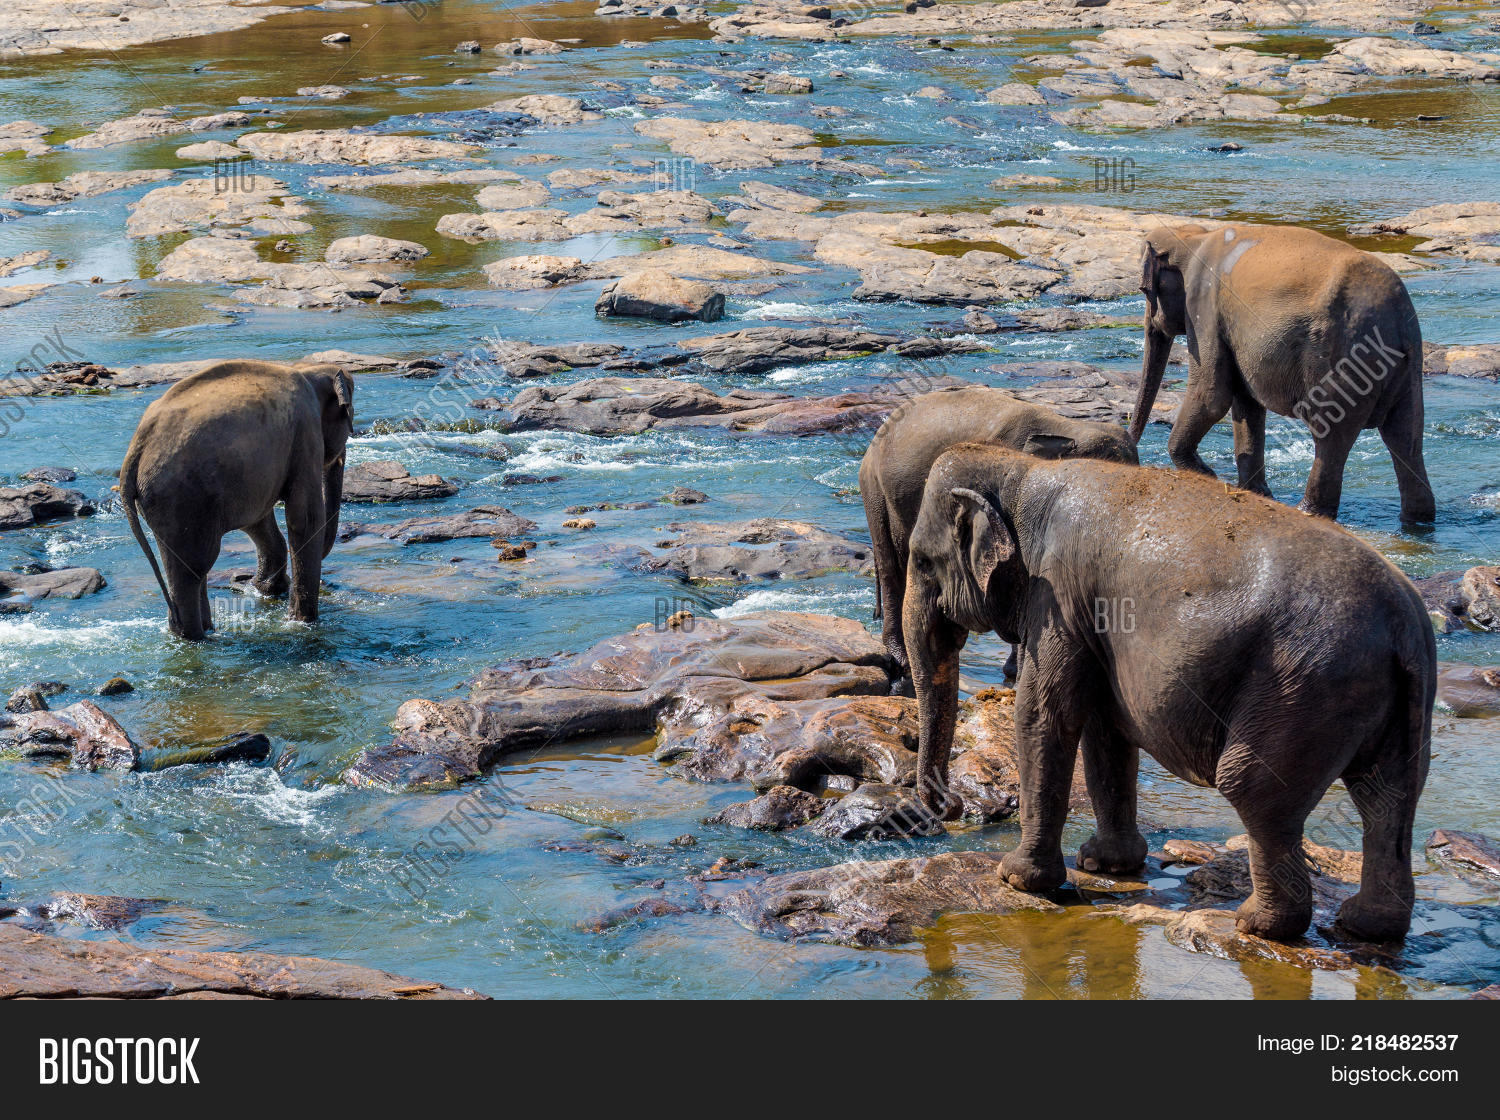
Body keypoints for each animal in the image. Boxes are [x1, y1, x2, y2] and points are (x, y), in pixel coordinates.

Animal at [120, 360, 354, 641]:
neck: (308, 368)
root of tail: (135, 453)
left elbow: (258, 518)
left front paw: (266, 589)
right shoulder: (306, 433)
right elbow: (304, 518)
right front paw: (302, 622)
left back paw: (200, 630)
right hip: (182, 498)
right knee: (196, 566)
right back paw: (197, 637)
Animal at [902, 443, 1434, 942]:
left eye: (924, 561)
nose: (949, 807)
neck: (1023, 470)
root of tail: (1403, 620)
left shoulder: (1059, 596)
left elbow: (1045, 716)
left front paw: (1016, 879)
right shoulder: (1092, 622)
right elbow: (1106, 729)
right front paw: (1105, 865)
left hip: (1301, 690)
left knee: (1255, 789)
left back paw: (1257, 925)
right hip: (1396, 700)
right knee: (1389, 797)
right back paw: (1365, 925)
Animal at [1131, 222, 1434, 524]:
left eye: (1145, 291)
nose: (1132, 452)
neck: (1195, 236)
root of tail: (1397, 318)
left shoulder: (1204, 307)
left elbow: (1212, 397)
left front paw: (1208, 476)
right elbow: (1247, 404)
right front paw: (1254, 491)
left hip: (1346, 358)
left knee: (1331, 436)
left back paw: (1307, 510)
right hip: (1408, 367)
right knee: (1405, 437)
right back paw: (1418, 520)